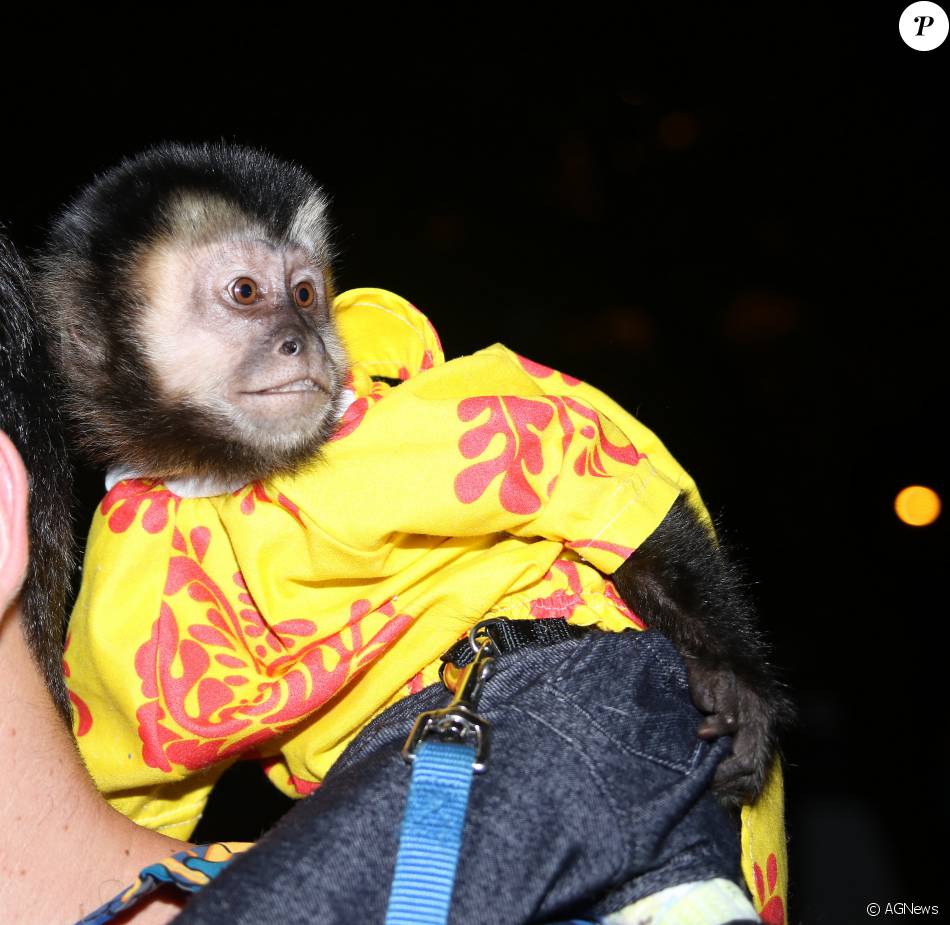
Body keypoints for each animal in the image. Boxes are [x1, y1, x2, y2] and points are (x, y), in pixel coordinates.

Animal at [33, 143, 790, 835]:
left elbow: (581, 481)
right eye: (245, 292)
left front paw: (736, 680)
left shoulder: (414, 429)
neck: (237, 475)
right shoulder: (123, 574)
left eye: (304, 294)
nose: (304, 342)